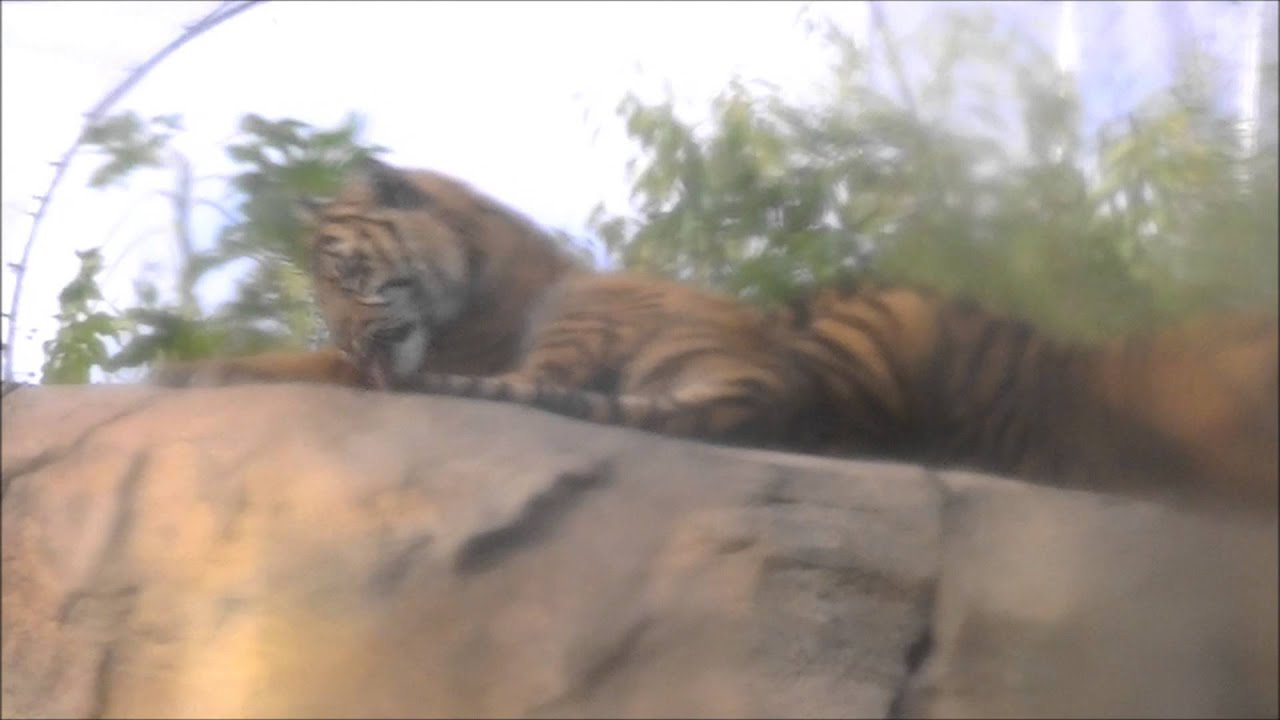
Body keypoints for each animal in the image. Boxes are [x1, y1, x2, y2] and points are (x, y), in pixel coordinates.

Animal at [153, 158, 814, 448]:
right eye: (319, 295)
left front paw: (188, 371)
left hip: (579, 309)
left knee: (535, 387)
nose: (351, 342)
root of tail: (760, 381)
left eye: (348, 273)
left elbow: (295, 362)